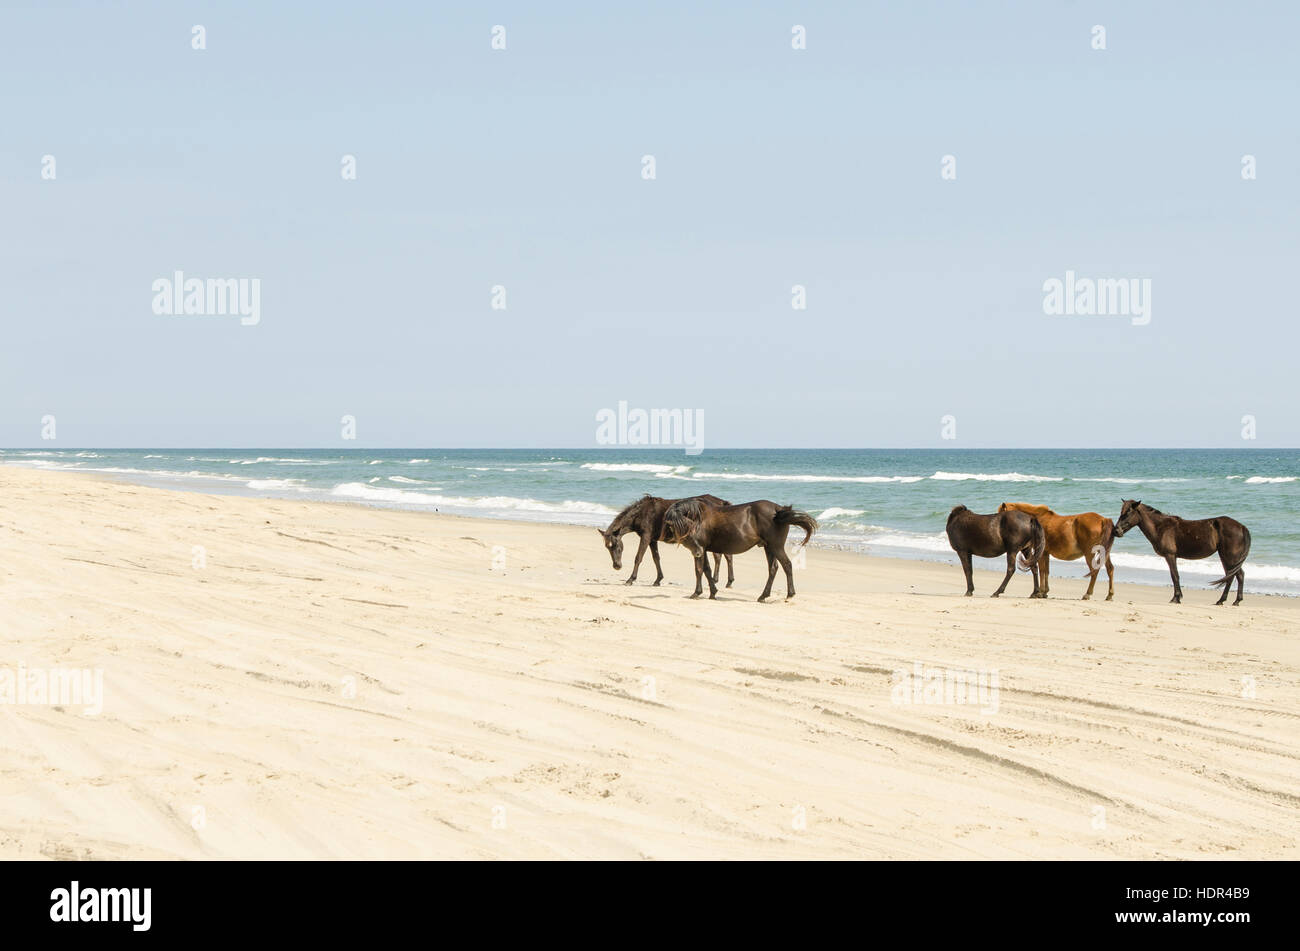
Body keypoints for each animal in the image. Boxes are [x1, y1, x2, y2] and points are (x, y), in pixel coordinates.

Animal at [598, 495, 735, 587]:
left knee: (723, 556)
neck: (642, 512)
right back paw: (723, 581)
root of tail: (722, 502)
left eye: (617, 546)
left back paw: (723, 581)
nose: (617, 566)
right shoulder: (652, 540)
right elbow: (656, 558)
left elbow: (638, 557)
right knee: (723, 556)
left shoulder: (646, 537)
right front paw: (658, 580)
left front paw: (630, 579)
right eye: (608, 547)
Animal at [659, 498, 817, 601]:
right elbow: (706, 570)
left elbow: (699, 570)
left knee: (787, 565)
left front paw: (697, 593)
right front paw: (712, 593)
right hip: (769, 547)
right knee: (773, 569)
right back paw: (763, 596)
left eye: (688, 528)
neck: (700, 519)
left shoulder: (702, 548)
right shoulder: (704, 550)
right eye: (679, 528)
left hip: (775, 547)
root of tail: (778, 510)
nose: (696, 551)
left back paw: (789, 594)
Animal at [1113, 500, 1251, 604]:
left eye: (1128, 512)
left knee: (1233, 576)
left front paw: (1176, 598)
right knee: (1237, 576)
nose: (1116, 531)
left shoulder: (1170, 555)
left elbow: (1175, 576)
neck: (1161, 527)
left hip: (1229, 557)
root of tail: (1242, 527)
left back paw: (1223, 600)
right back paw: (1234, 601)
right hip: (1228, 558)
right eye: (1121, 512)